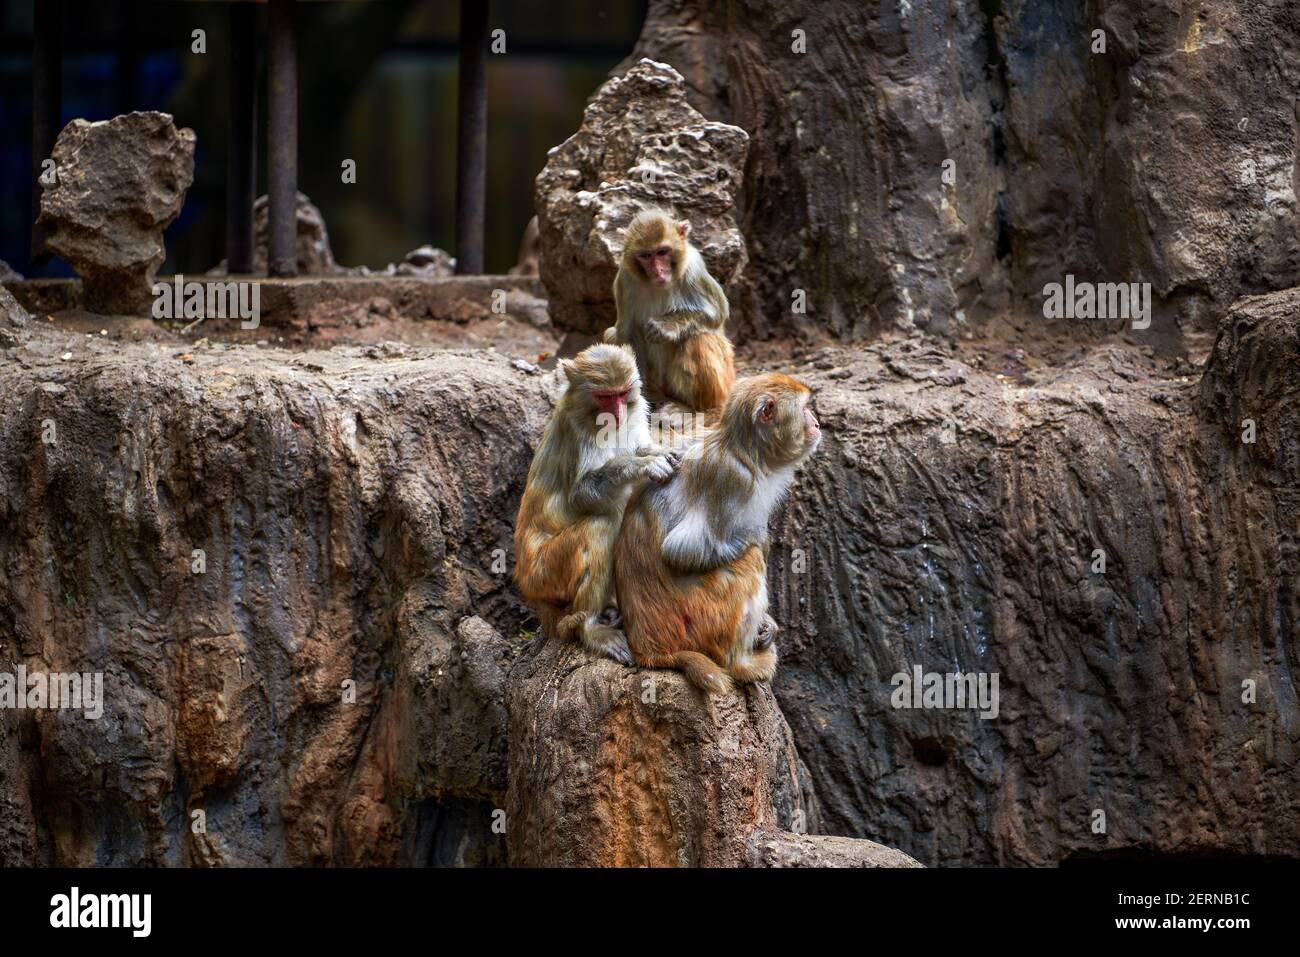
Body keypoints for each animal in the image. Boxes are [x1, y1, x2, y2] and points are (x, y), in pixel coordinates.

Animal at [513, 342, 680, 665]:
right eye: (604, 397)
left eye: (622, 393)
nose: (616, 414)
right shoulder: (579, 432)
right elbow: (580, 496)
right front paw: (640, 465)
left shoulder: (635, 413)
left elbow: (641, 445)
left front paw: (661, 452)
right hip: (545, 572)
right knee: (599, 528)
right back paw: (591, 627)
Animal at [604, 209, 736, 417]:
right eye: (645, 255)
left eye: (662, 252)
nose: (658, 271)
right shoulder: (625, 279)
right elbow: (627, 335)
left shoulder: (693, 268)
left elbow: (717, 312)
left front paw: (665, 326)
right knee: (612, 335)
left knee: (699, 338)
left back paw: (700, 408)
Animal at [613, 372, 821, 694]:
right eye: (804, 409)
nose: (817, 423)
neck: (747, 452)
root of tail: (650, 650)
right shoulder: (735, 480)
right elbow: (681, 550)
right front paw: (759, 538)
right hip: (700, 622)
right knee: (748, 562)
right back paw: (742, 665)